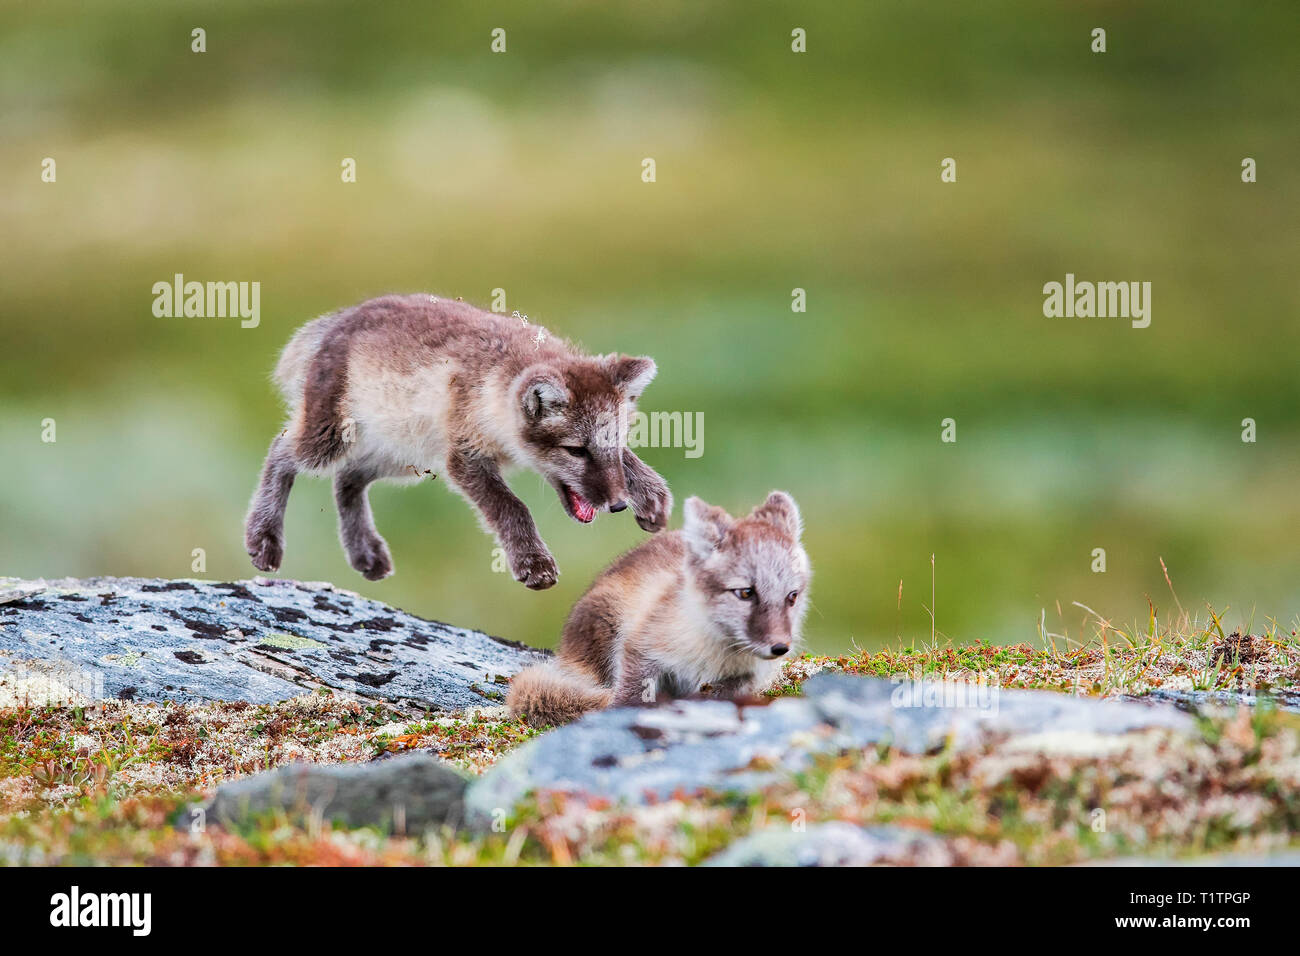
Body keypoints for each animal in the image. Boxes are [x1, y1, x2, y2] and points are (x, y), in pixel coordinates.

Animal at [244, 293, 673, 588]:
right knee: (281, 449)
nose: (617, 505)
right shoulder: (464, 457)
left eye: (615, 443)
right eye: (576, 451)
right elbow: (512, 507)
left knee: (347, 479)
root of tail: (336, 320)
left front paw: (652, 498)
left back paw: (365, 552)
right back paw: (263, 539)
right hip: (331, 439)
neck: (498, 376)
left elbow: (633, 465)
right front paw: (533, 563)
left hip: (402, 455)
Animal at [507, 490, 810, 725]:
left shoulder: (745, 678)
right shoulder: (640, 647)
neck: (718, 652)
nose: (780, 647)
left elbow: (720, 694)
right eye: (746, 592)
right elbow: (629, 694)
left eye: (792, 596)